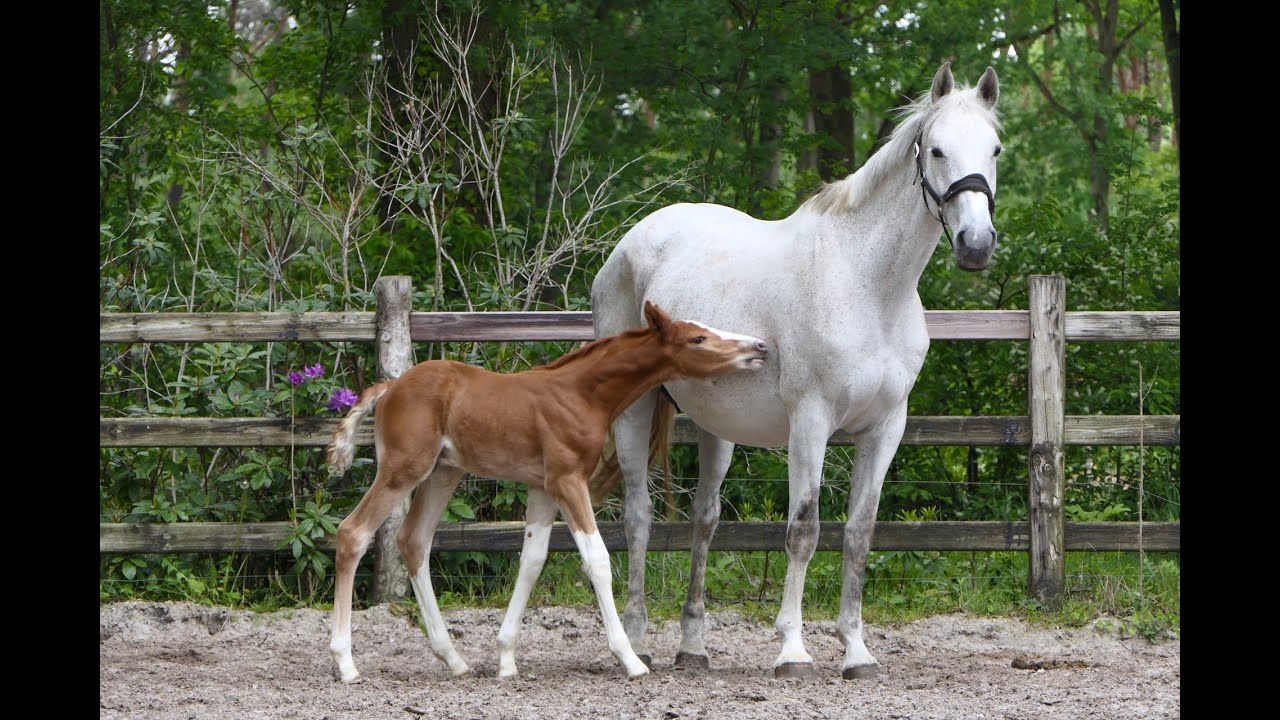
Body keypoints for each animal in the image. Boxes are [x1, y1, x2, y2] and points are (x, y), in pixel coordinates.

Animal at [325, 301, 768, 682]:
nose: (759, 348)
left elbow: (532, 560)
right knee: (353, 532)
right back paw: (345, 663)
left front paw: (506, 659)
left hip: (443, 472)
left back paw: (453, 659)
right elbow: (597, 560)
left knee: (414, 541)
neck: (581, 394)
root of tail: (390, 386)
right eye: (697, 339)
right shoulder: (567, 480)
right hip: (404, 468)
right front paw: (629, 659)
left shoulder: (542, 486)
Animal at [588, 63, 1002, 679]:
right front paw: (793, 649)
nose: (976, 244)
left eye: (995, 149)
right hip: (635, 410)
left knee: (704, 520)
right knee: (638, 515)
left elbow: (859, 534)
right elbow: (803, 530)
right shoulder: (810, 422)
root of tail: (628, 245)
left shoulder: (885, 429)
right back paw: (635, 640)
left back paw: (694, 647)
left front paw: (856, 651)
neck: (867, 285)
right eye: (936, 150)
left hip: (716, 424)